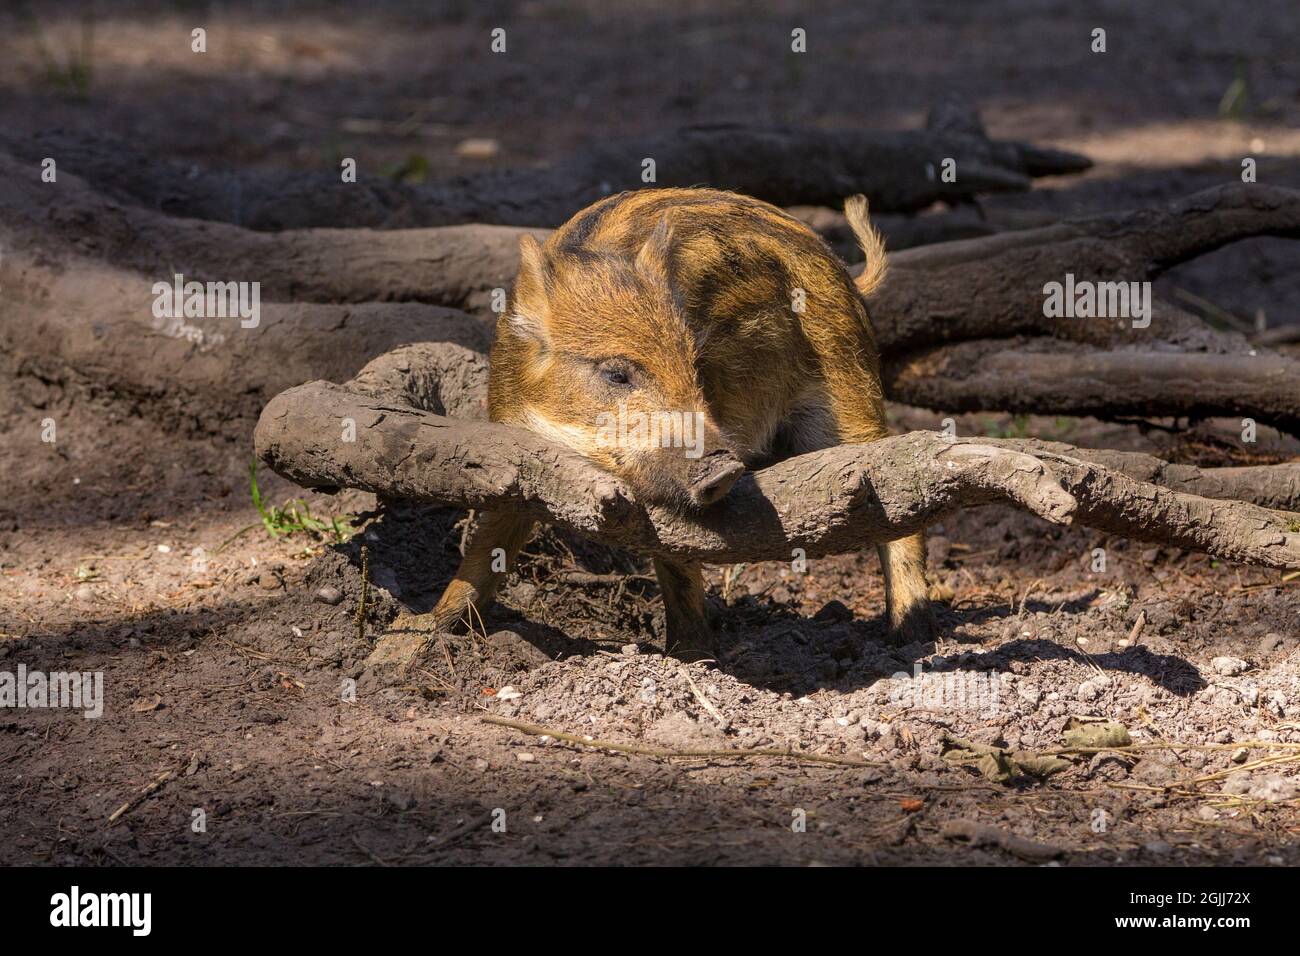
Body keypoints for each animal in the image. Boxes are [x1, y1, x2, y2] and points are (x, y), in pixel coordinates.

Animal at [429, 188, 932, 656]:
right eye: (617, 373)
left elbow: (677, 557)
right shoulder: (516, 453)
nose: (724, 467)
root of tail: (847, 276)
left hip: (850, 391)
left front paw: (690, 659)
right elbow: (486, 548)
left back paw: (910, 636)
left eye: (693, 366)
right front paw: (419, 638)